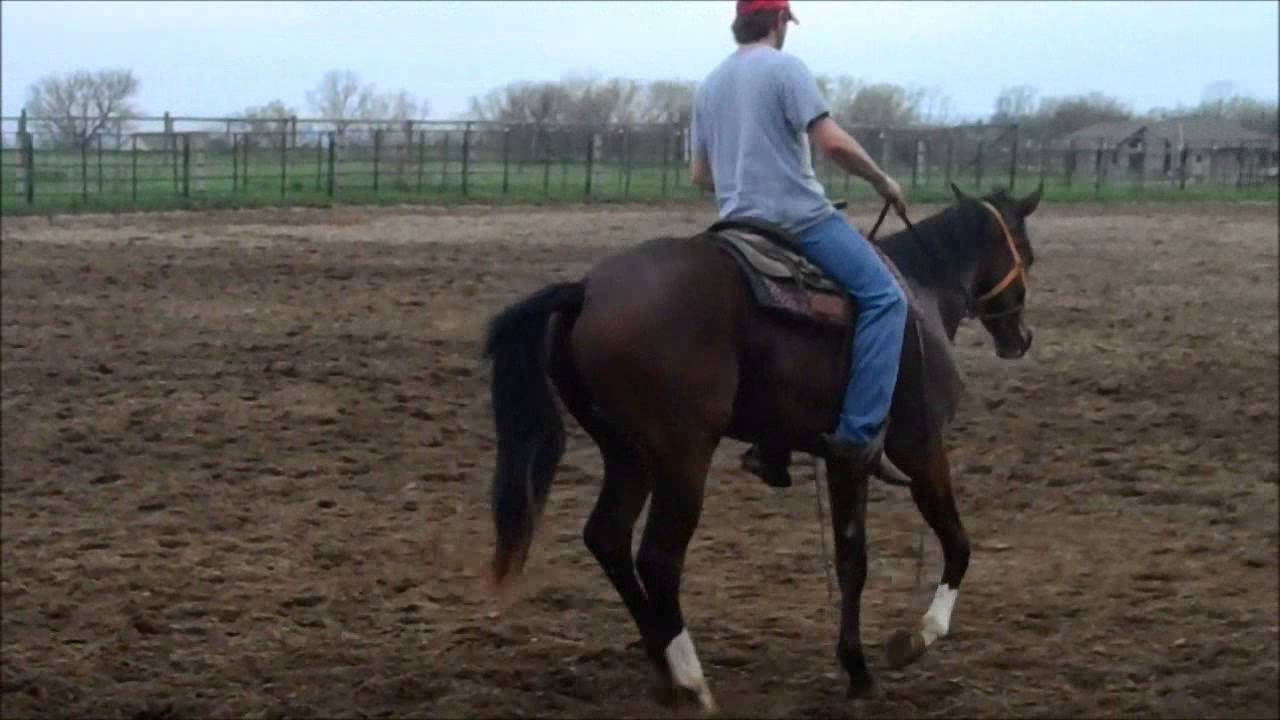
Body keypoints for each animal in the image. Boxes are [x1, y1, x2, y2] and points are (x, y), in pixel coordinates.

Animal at [482, 182, 1042, 712]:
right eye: (1027, 252)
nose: (1021, 338)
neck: (922, 290)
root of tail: (586, 290)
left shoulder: (845, 457)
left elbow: (851, 559)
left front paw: (856, 669)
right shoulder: (918, 445)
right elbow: (954, 542)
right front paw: (917, 637)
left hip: (628, 454)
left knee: (607, 539)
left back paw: (664, 671)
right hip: (683, 457)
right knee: (657, 559)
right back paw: (692, 682)